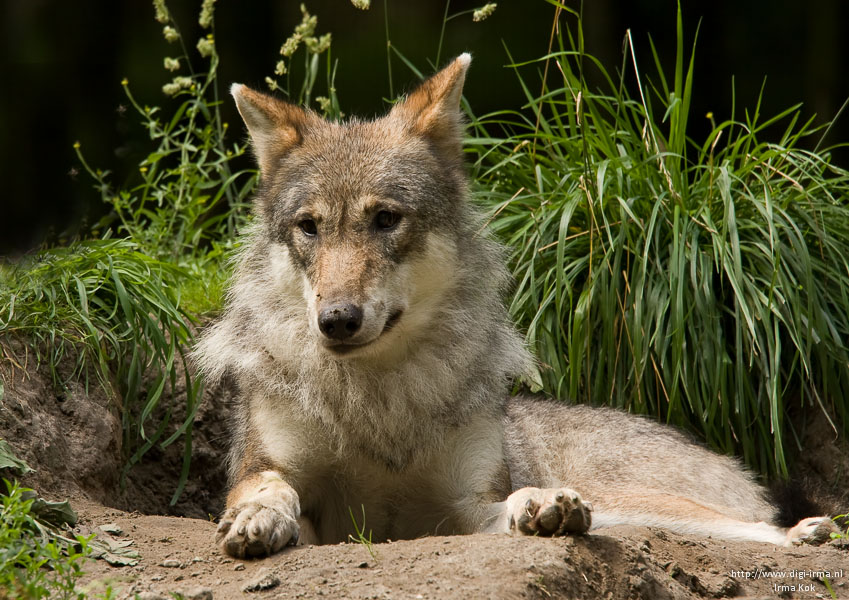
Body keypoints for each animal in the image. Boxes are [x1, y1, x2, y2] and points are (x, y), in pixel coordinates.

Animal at [195, 53, 836, 558]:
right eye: (309, 227)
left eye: (385, 220)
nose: (336, 321)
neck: (379, 401)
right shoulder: (289, 484)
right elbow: (270, 488)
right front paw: (258, 518)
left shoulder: (463, 509)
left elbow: (507, 501)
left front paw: (541, 505)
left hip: (639, 505)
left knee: (753, 527)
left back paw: (806, 532)